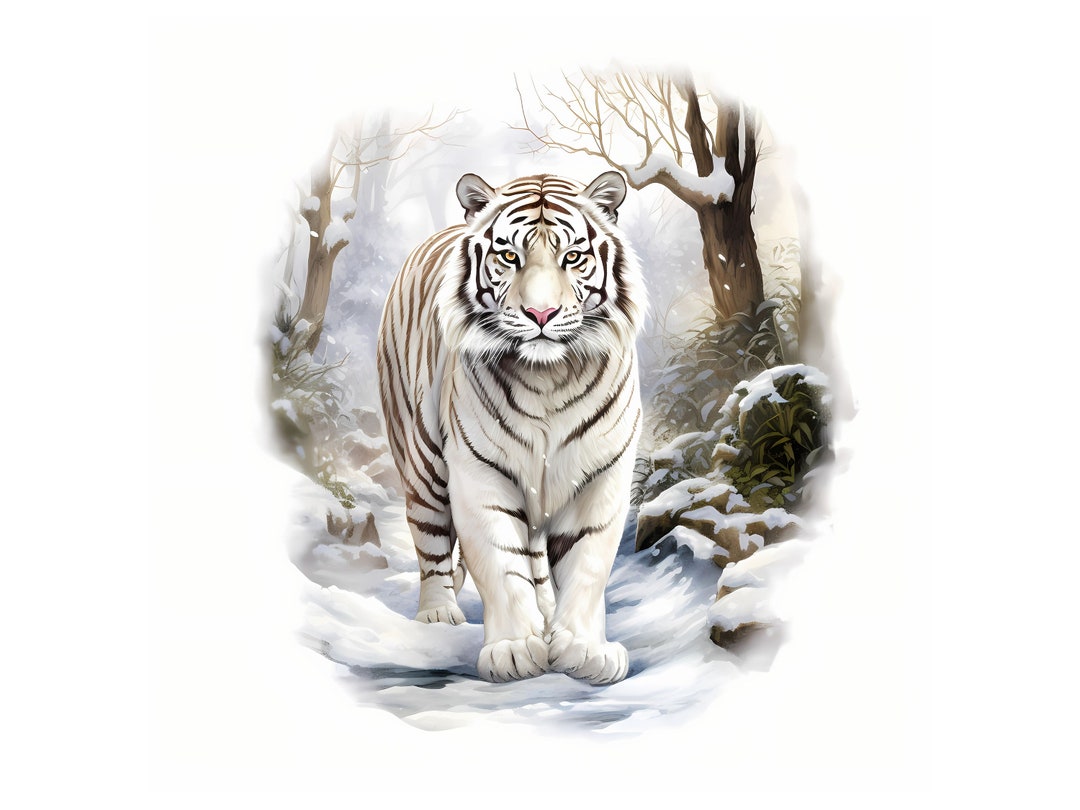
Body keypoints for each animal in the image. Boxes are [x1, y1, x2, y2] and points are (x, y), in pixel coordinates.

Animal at [376, 170, 645, 685]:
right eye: (509, 257)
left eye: (572, 257)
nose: (541, 315)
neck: (548, 378)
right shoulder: (479, 473)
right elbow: (500, 562)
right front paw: (515, 650)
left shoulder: (600, 474)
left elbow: (588, 563)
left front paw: (582, 649)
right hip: (422, 462)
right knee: (432, 543)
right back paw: (438, 616)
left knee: (537, 556)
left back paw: (547, 615)